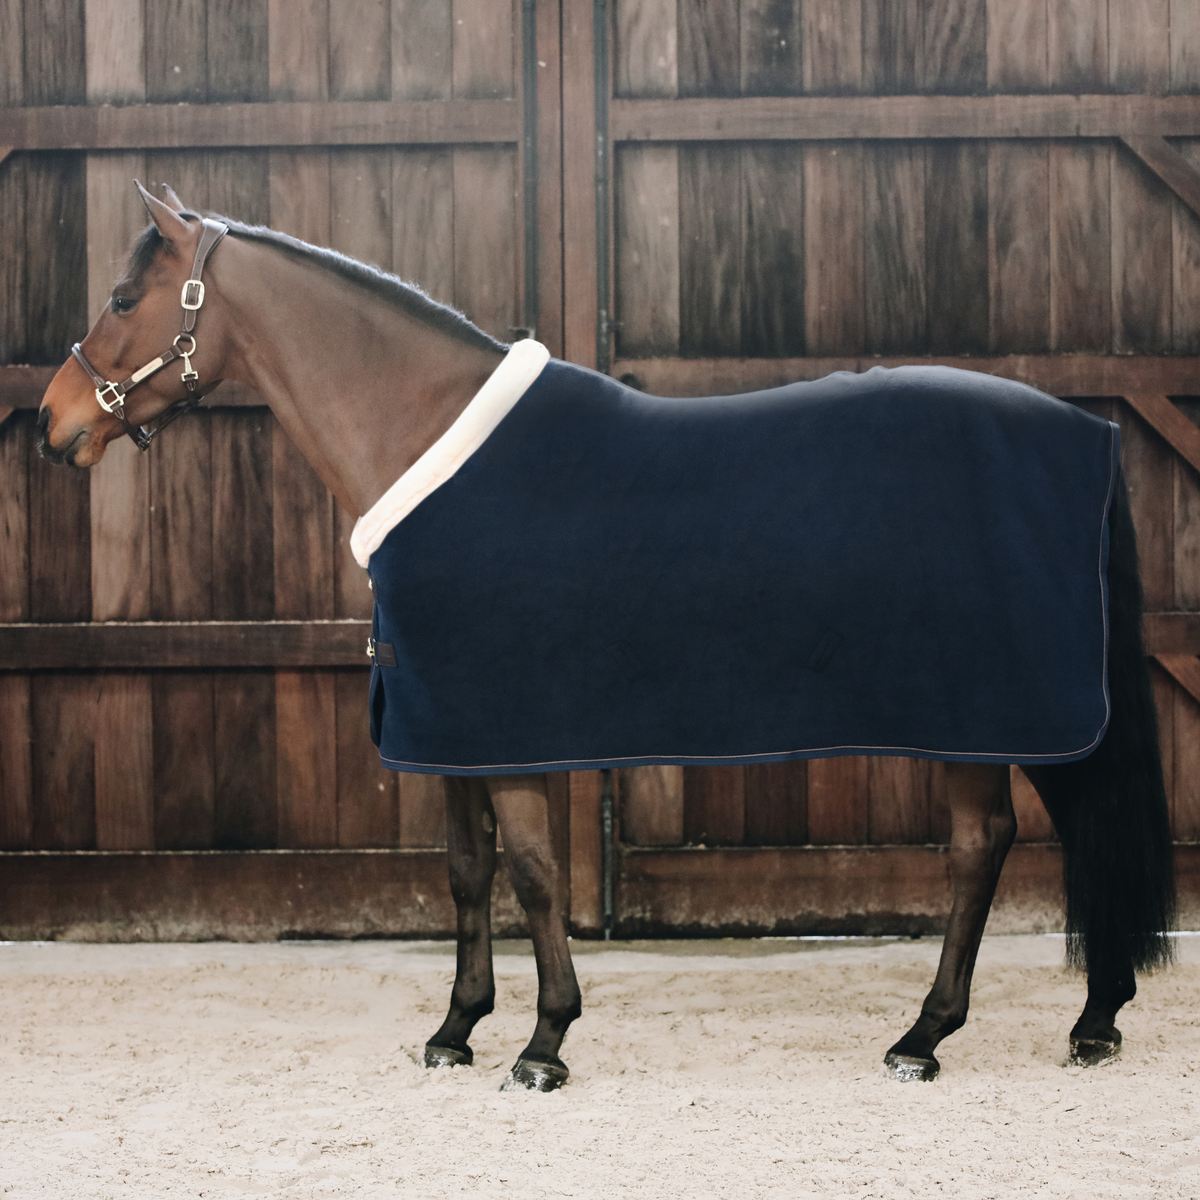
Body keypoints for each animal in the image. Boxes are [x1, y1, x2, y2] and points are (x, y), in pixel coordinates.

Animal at [37, 182, 1176, 1091]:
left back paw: (927, 1037)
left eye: (124, 300)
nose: (52, 423)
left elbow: (537, 871)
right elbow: (467, 871)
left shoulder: (505, 731)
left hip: (992, 711)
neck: (429, 437)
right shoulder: (448, 728)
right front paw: (455, 1029)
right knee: (1073, 829)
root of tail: (1087, 429)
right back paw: (1093, 1021)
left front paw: (543, 1045)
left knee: (988, 845)